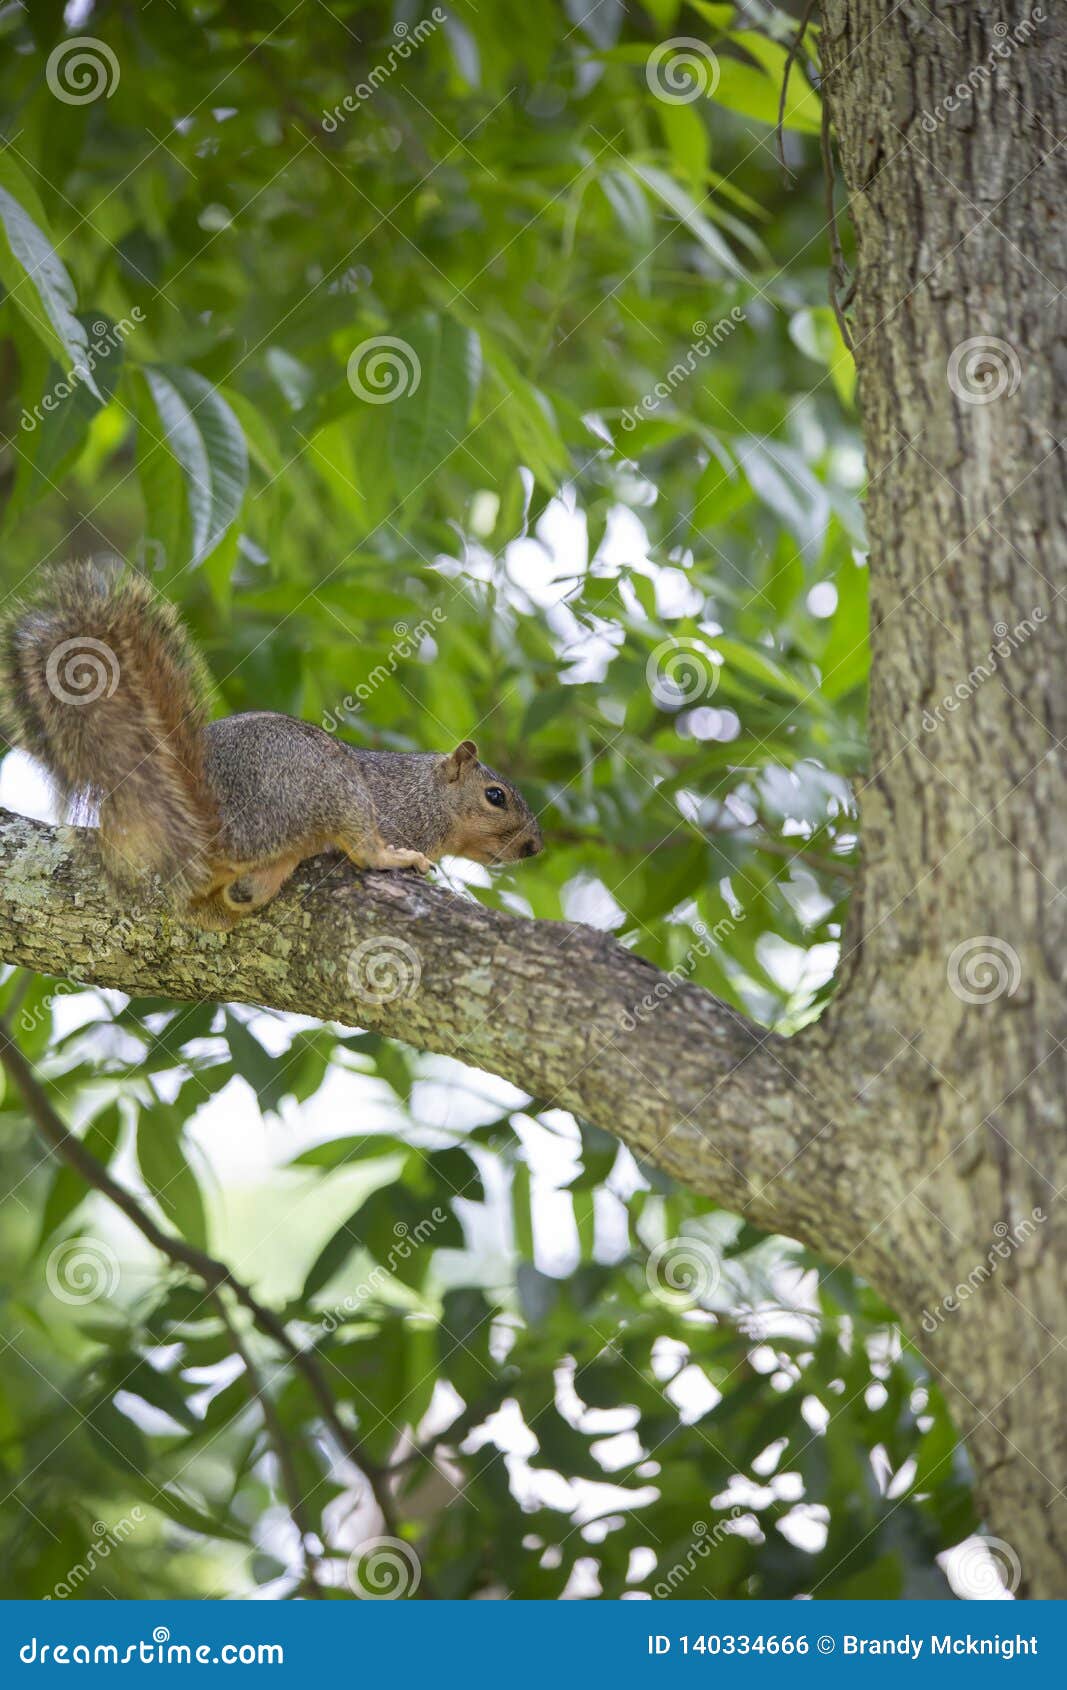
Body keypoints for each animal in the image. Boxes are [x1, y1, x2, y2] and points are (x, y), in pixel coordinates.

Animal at [0, 561, 543, 931]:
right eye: (495, 796)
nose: (534, 847)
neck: (433, 795)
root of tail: (205, 818)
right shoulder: (402, 813)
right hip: (325, 786)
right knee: (359, 846)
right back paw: (389, 858)